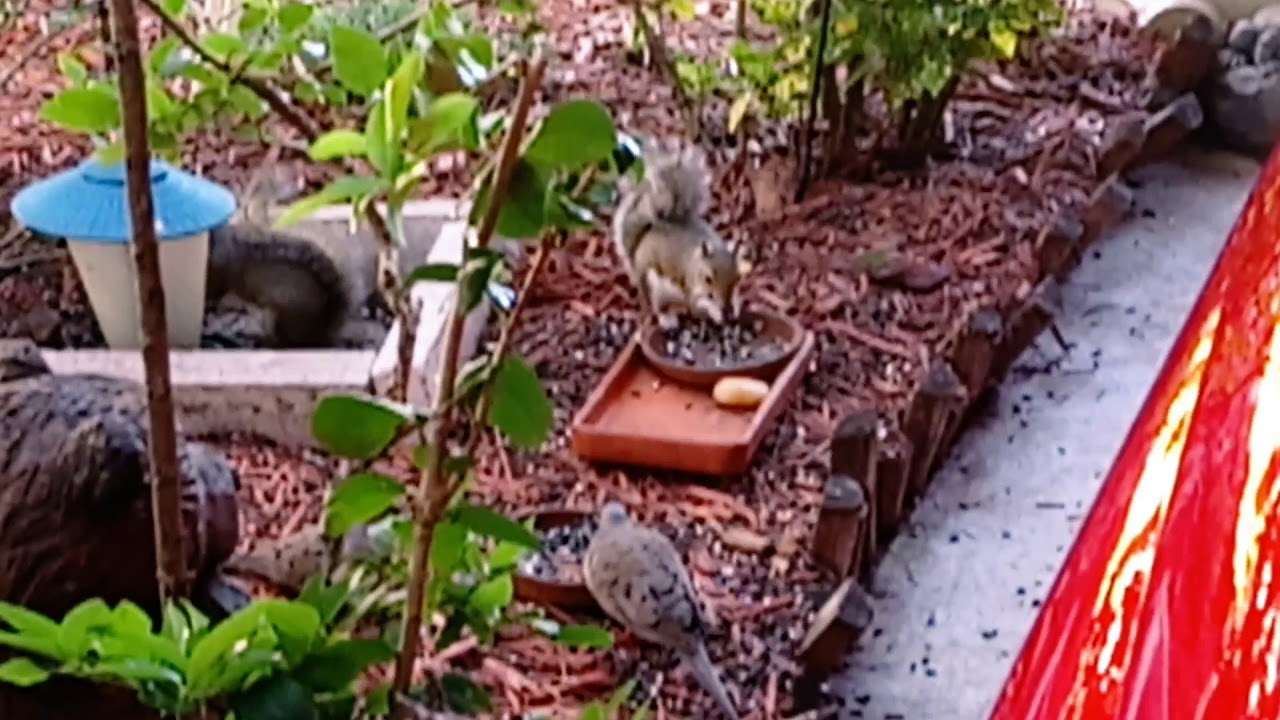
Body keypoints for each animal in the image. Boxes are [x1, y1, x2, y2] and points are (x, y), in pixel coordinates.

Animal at [611, 141, 742, 330]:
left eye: (737, 278)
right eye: (708, 278)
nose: (725, 307)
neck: (695, 262)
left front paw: (736, 306)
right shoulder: (690, 286)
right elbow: (696, 305)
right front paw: (715, 313)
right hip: (656, 288)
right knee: (656, 306)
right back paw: (667, 318)